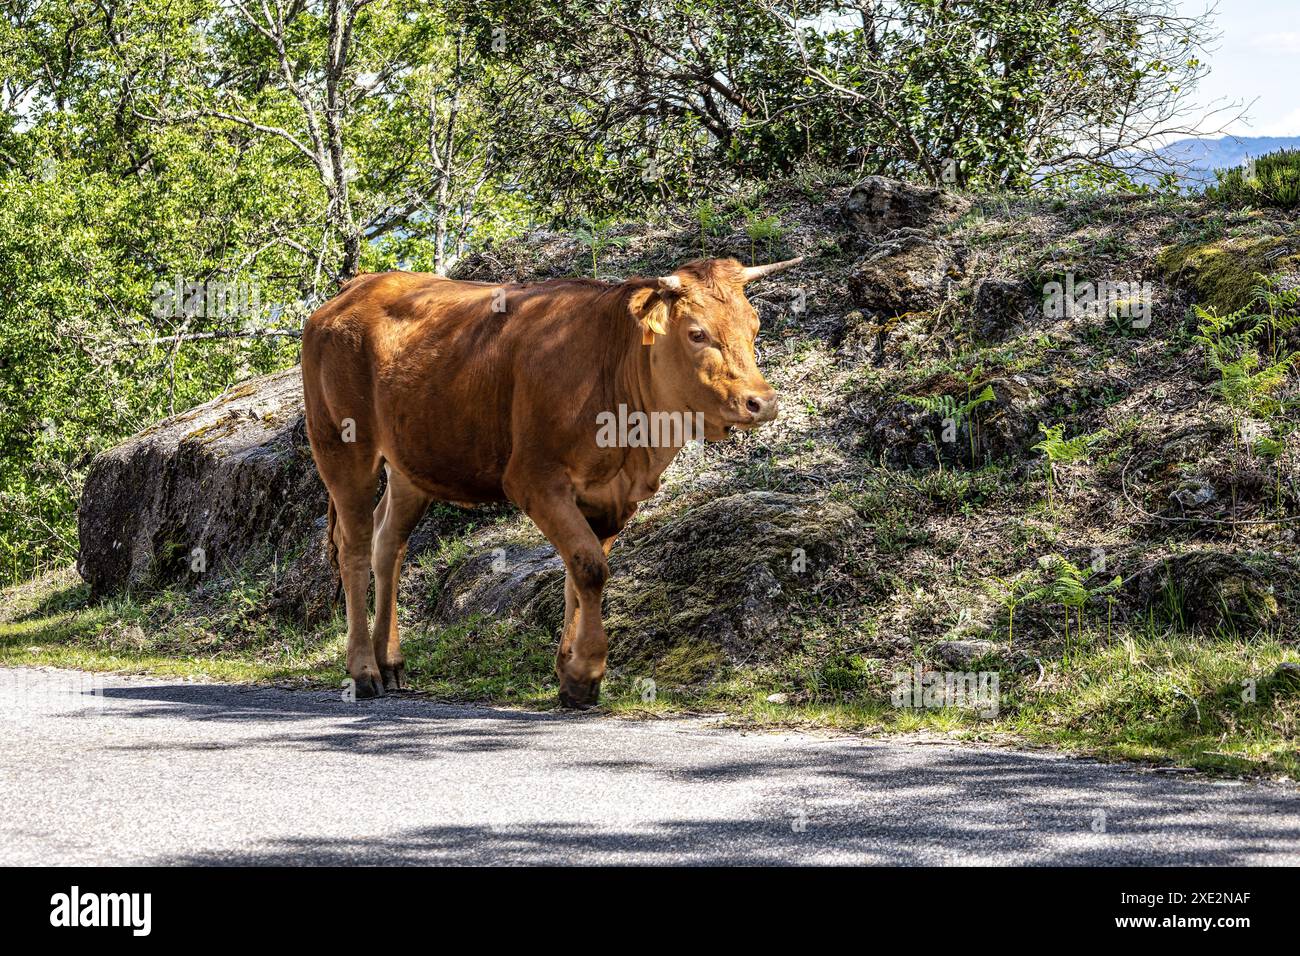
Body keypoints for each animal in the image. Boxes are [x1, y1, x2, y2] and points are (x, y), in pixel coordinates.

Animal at [301, 255, 802, 708]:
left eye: (754, 327)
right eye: (697, 333)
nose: (762, 401)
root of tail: (357, 286)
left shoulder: (610, 498)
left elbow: (578, 574)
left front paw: (568, 668)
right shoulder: (534, 480)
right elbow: (591, 569)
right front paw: (586, 675)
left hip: (410, 465)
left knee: (388, 543)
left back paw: (390, 663)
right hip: (342, 446)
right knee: (354, 546)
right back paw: (364, 671)